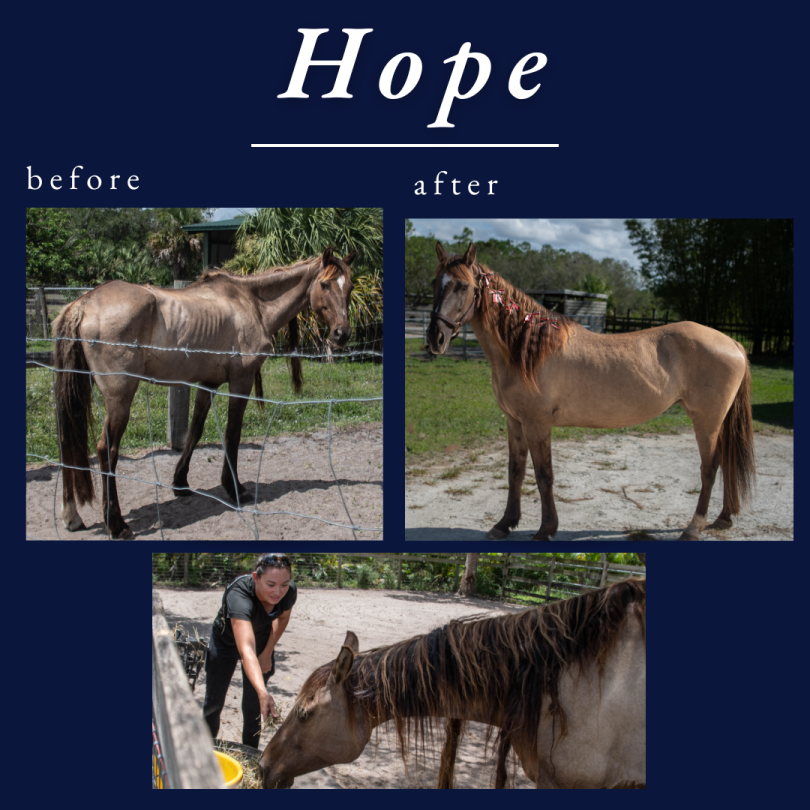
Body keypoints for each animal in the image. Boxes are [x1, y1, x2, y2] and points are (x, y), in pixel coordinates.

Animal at [52, 247, 355, 538]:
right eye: (325, 284)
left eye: (350, 287)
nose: (342, 334)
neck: (252, 302)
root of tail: (83, 303)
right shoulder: (240, 382)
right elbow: (232, 435)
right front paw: (234, 489)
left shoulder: (207, 384)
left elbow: (194, 432)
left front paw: (180, 483)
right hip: (120, 398)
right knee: (107, 450)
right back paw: (116, 524)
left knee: (67, 441)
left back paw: (72, 515)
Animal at [426, 241, 755, 541]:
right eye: (434, 283)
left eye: (463, 286)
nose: (435, 338)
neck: (528, 349)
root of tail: (733, 343)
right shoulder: (514, 421)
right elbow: (515, 472)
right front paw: (504, 524)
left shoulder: (536, 423)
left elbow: (544, 475)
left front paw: (546, 530)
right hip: (718, 420)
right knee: (725, 461)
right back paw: (723, 518)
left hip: (706, 421)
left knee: (709, 467)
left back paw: (693, 527)